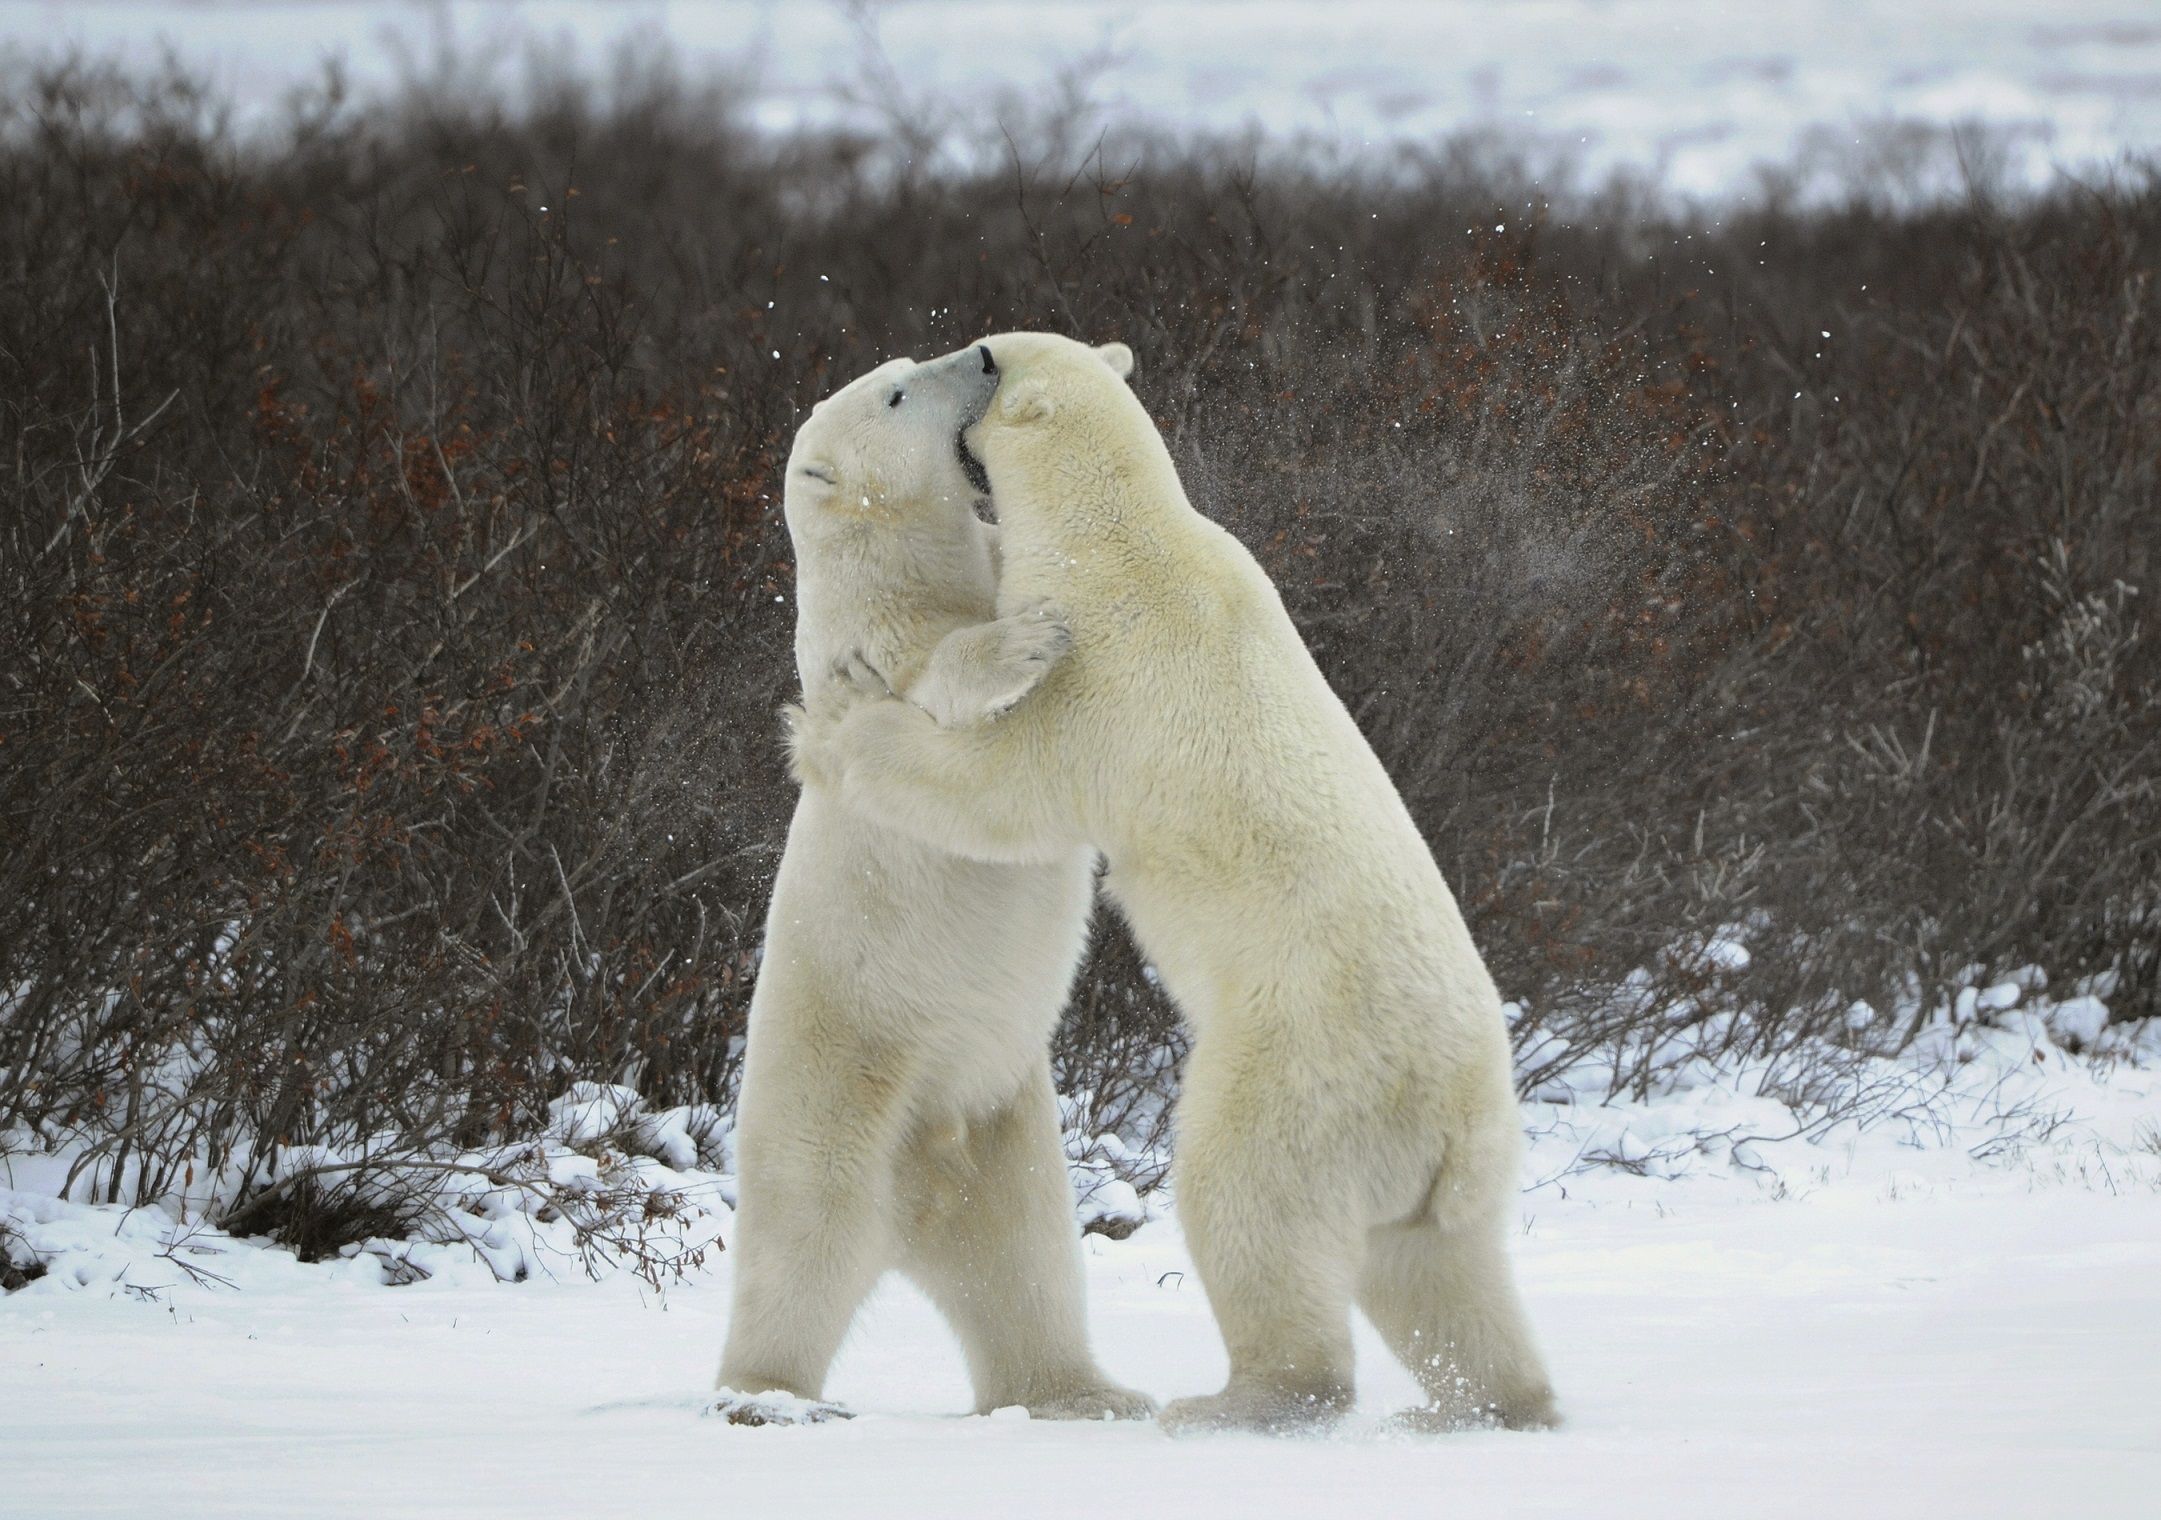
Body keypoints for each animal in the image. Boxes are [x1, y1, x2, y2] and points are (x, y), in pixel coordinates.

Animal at [714, 343, 1150, 1424]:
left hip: (1000, 1116)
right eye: (901, 391)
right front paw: (1028, 639)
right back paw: (771, 1395)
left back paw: (1088, 1391)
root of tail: (912, 1200)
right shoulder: (877, 654)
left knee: (1028, 1261)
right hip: (837, 1087)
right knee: (801, 1245)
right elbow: (940, 698)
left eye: (909, 361)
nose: (985, 357)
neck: (905, 569)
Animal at [792, 332, 1559, 1435]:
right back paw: (1480, 1406)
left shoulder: (1099, 679)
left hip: (1297, 1070)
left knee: (1249, 1205)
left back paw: (1235, 1399)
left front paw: (843, 727)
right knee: (1442, 1275)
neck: (1125, 540)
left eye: (989, 360)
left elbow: (998, 792)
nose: (968, 351)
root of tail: (1453, 1118)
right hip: (1451, 1158)